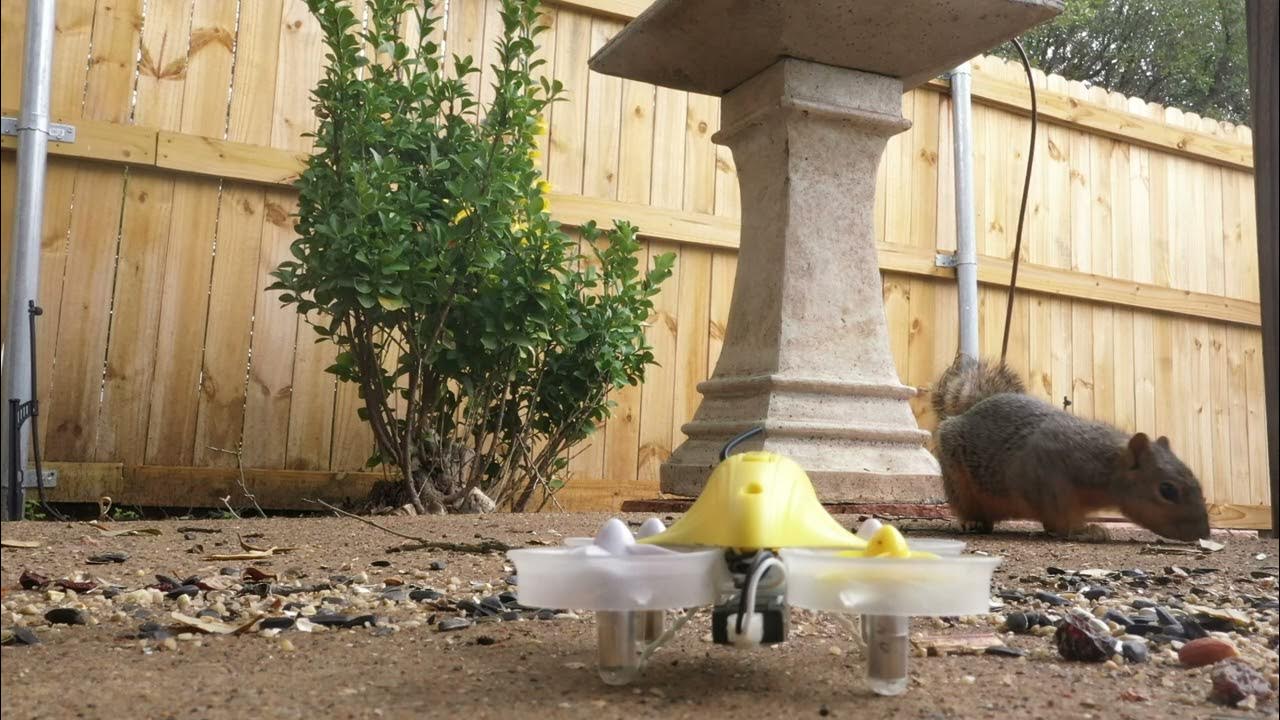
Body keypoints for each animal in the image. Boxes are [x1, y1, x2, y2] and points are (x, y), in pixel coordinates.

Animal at [930, 354, 1211, 542]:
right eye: (1167, 490)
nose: (1204, 534)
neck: (1104, 464)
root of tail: (970, 410)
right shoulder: (1049, 480)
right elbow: (1059, 517)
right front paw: (1084, 530)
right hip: (958, 481)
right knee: (967, 506)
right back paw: (973, 521)